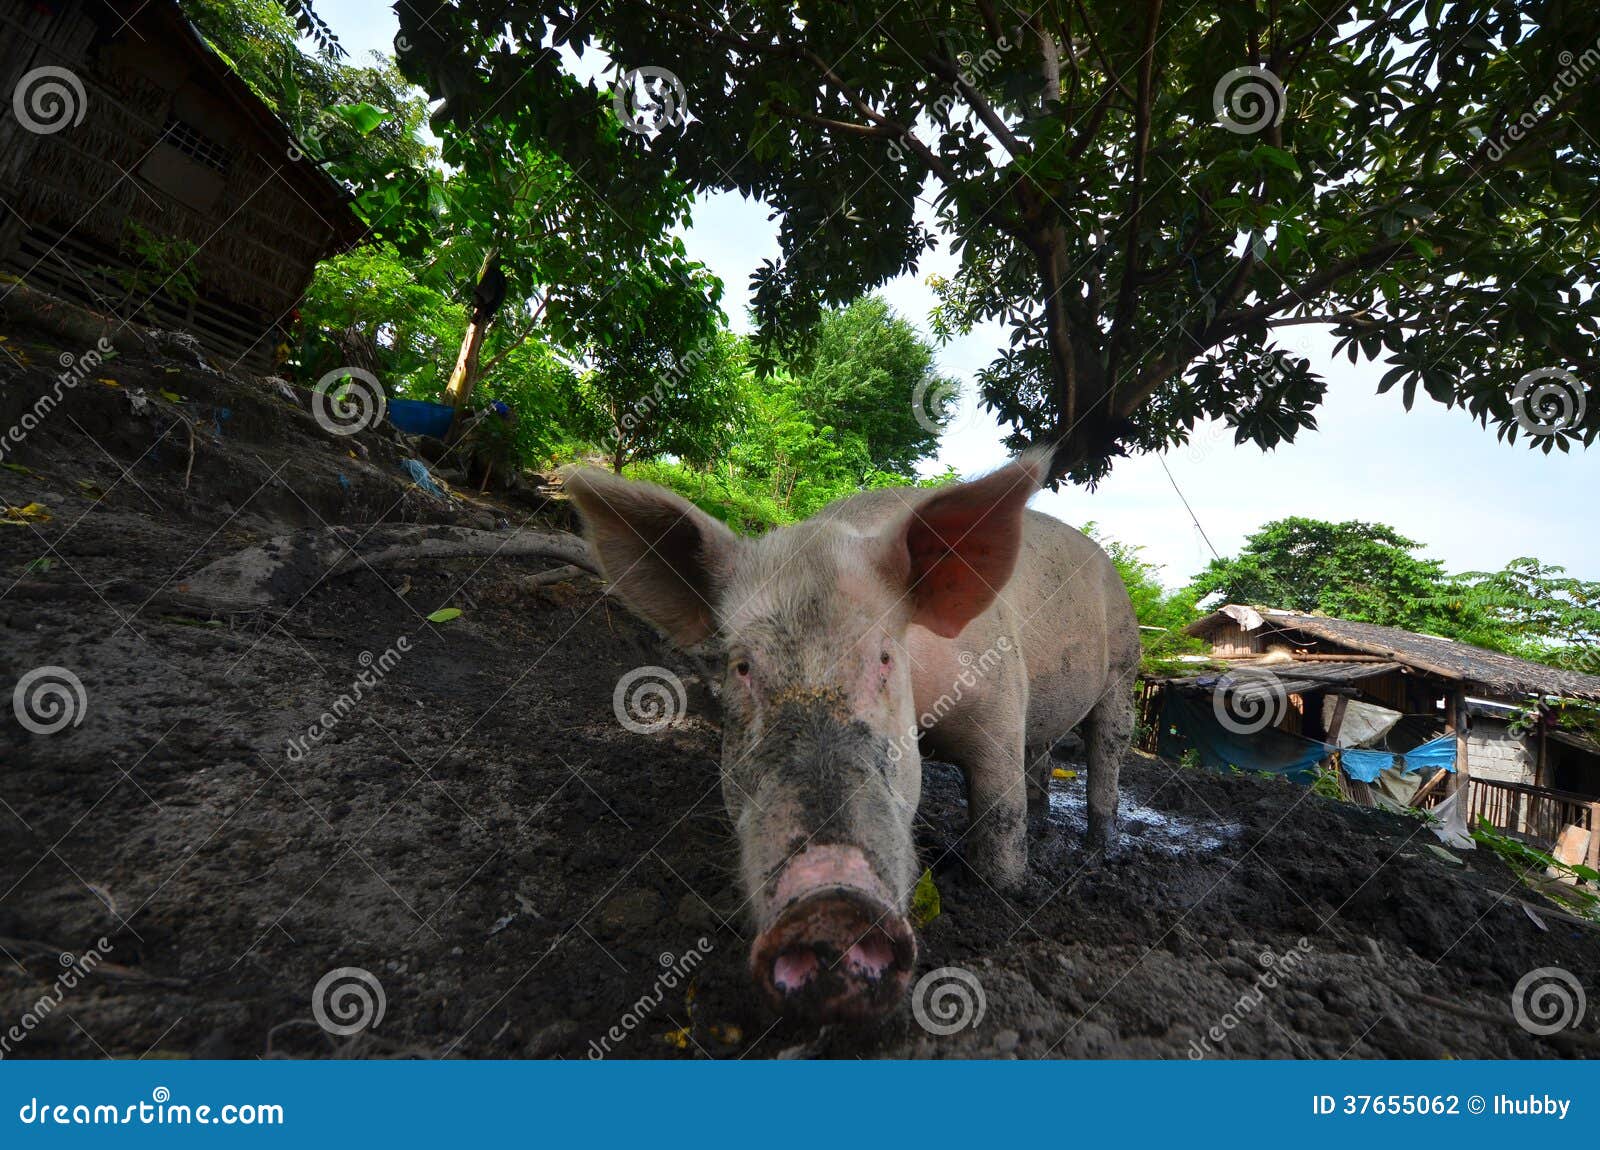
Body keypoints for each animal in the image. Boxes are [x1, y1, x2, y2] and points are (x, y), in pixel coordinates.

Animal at [565, 452, 1140, 1022]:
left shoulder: (1001, 700)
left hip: (1123, 668)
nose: (829, 899)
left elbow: (1000, 813)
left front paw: (1006, 888)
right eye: (742, 667)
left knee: (1105, 753)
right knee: (1042, 756)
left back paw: (1098, 848)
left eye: (884, 658)